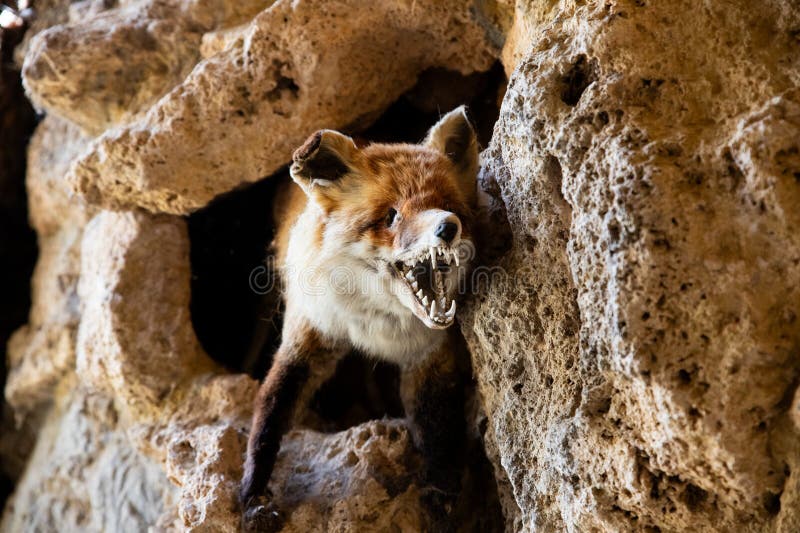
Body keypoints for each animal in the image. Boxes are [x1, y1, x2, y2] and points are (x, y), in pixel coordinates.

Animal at [239, 106, 480, 529]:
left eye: (449, 204)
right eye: (391, 216)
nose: (447, 226)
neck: (374, 323)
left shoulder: (431, 355)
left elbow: (437, 427)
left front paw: (441, 494)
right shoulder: (308, 333)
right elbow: (269, 414)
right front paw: (253, 496)